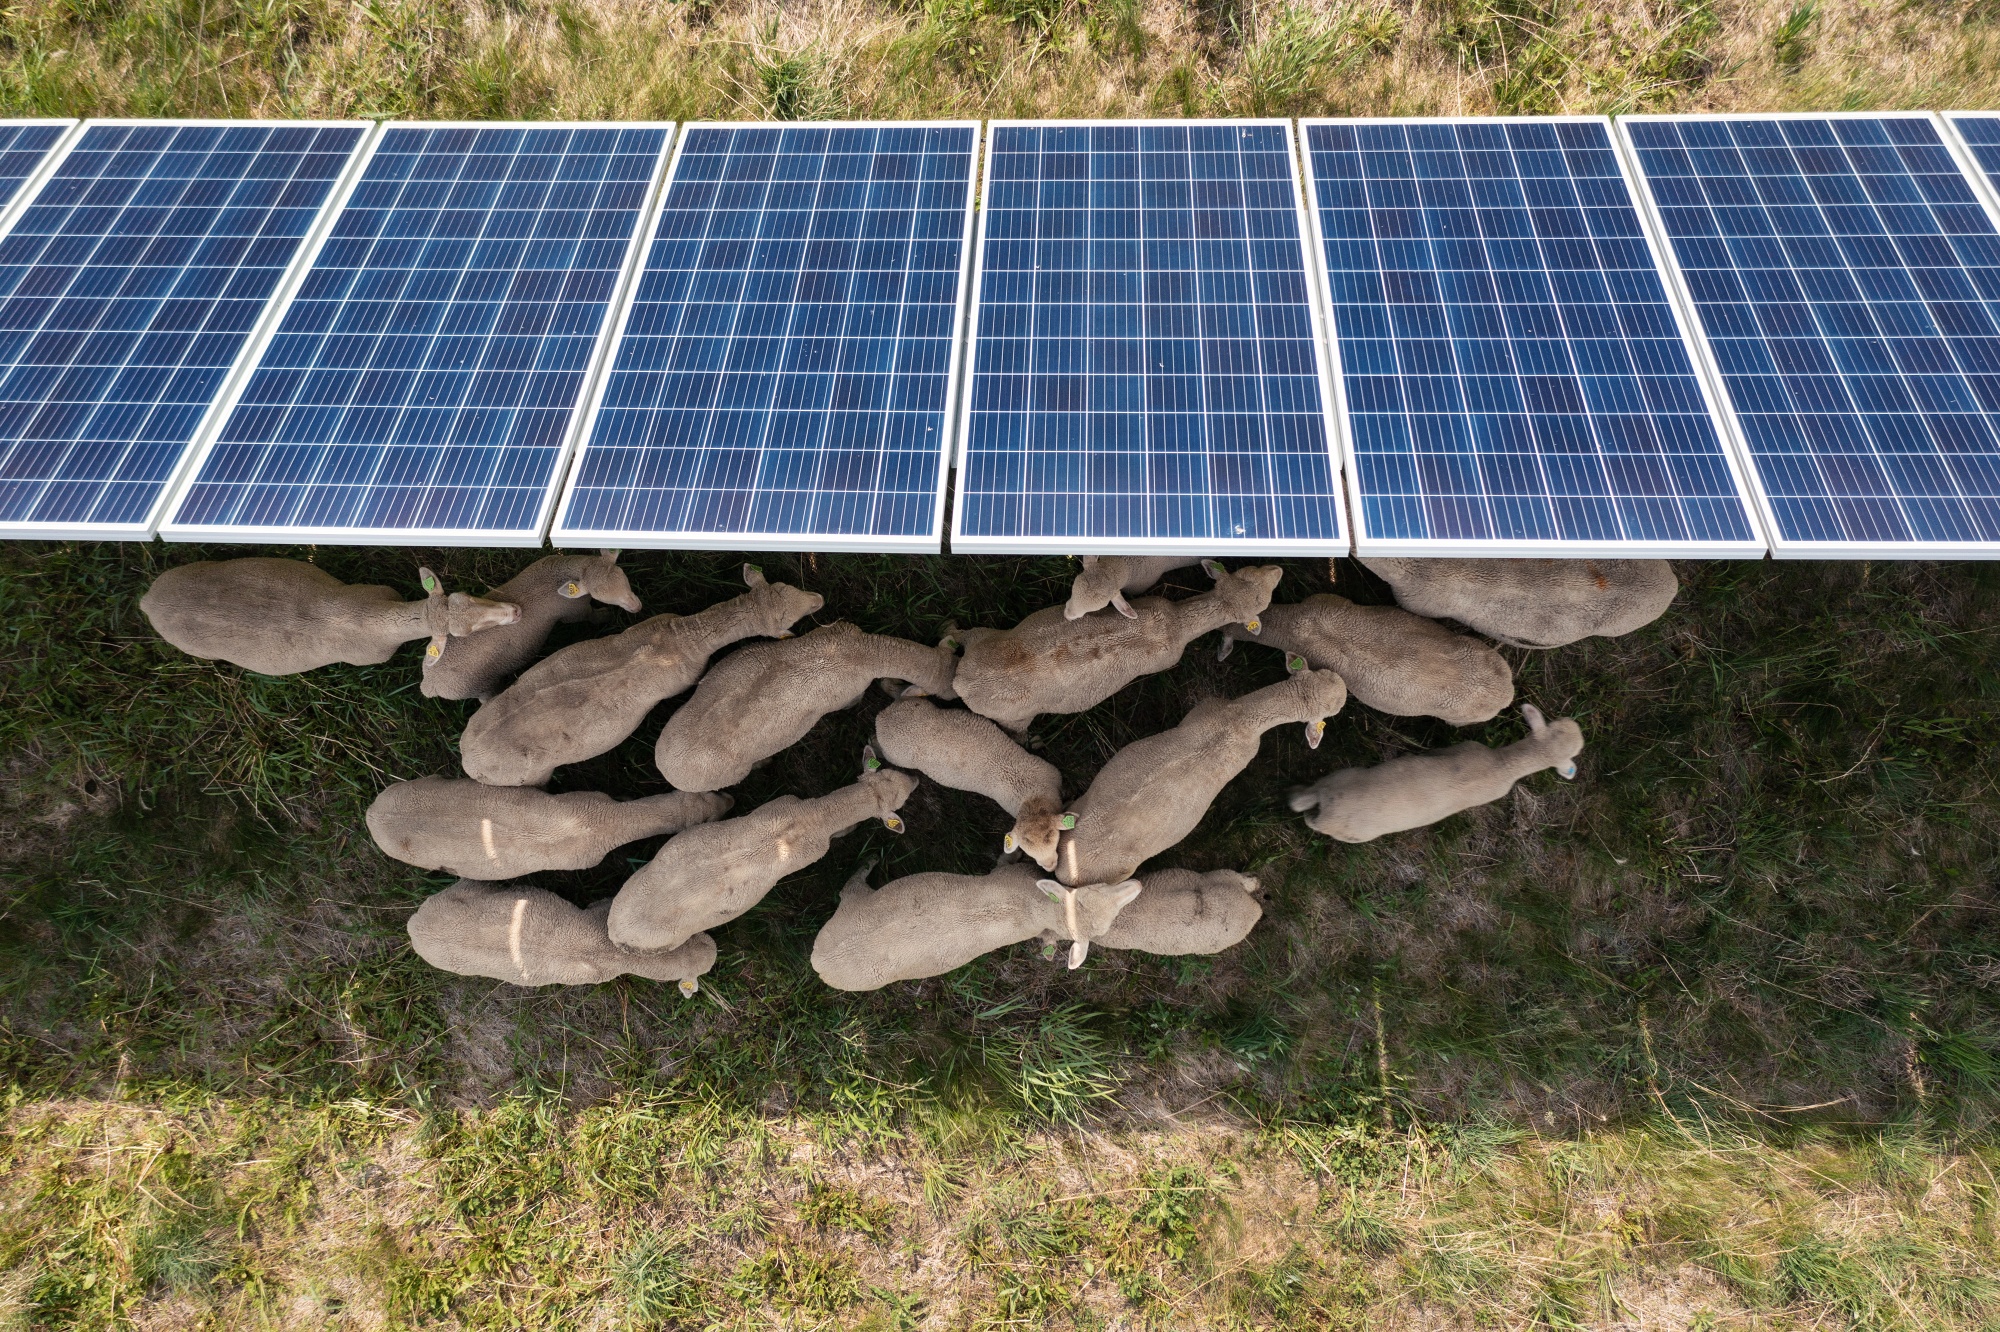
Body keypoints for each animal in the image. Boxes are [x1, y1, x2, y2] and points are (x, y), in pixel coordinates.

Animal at [422, 551, 643, 702]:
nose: (636, 607)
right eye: (602, 597)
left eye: (624, 578)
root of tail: (429, 683)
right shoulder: (574, 612)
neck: (557, 577)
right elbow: (591, 616)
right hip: (479, 687)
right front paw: (605, 616)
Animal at [459, 565, 822, 788]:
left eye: (786, 585)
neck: (682, 638)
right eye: (788, 620)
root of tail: (466, 755)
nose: (819, 598)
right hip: (529, 777)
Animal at [809, 861, 1142, 990]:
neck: (1033, 907)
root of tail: (820, 961)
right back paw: (866, 863)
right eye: (1095, 887)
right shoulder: (1013, 872)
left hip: (850, 908)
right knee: (851, 884)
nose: (1138, 885)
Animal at [871, 696, 1069, 870]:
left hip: (917, 705)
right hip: (895, 755)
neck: (1032, 798)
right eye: (1026, 851)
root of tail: (882, 717)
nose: (1050, 867)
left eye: (1053, 837)